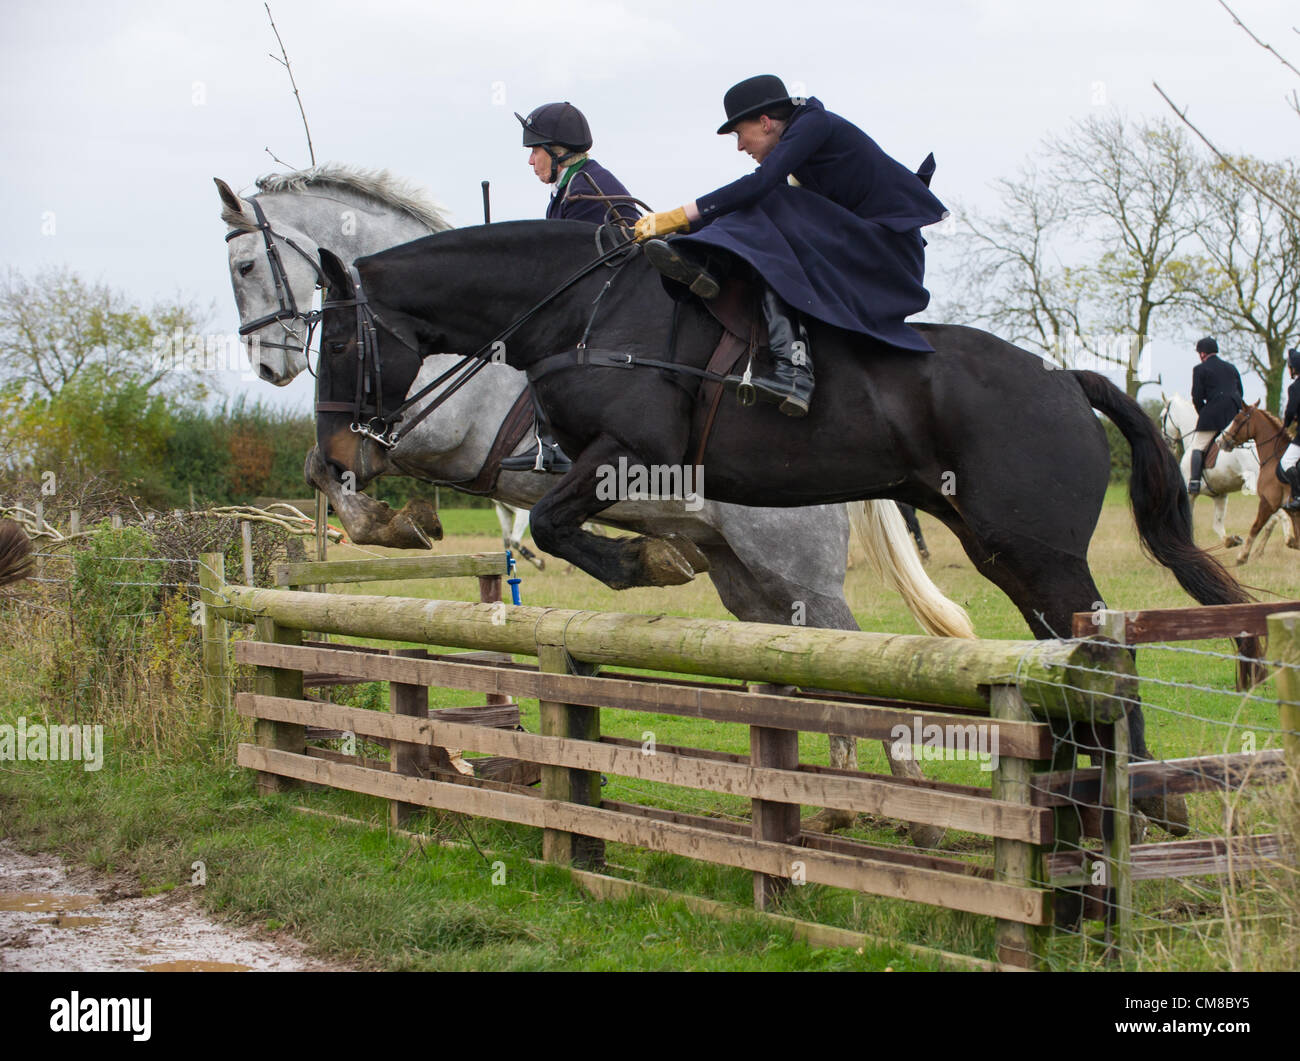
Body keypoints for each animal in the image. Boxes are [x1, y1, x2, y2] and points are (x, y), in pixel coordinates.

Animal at [216, 167, 975, 841]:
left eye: (246, 265)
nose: (269, 366)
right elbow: (324, 467)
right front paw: (397, 521)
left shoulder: (441, 436)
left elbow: (340, 465)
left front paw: (395, 522)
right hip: (748, 579)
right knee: (797, 661)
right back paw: (828, 801)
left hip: (795, 568)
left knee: (847, 654)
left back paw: (902, 804)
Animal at [312, 220, 1256, 837]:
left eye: (341, 346)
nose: (333, 458)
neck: (584, 311)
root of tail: (1065, 379)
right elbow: (543, 523)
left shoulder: (626, 455)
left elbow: (549, 520)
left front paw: (646, 561)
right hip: (998, 553)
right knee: (1071, 658)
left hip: (1032, 553)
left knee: (1102, 657)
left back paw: (1132, 804)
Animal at [1220, 402, 1300, 564]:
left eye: (1237, 420)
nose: (1222, 442)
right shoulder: (1291, 510)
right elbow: (1296, 540)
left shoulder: (1268, 503)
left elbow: (1255, 527)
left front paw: (1242, 557)